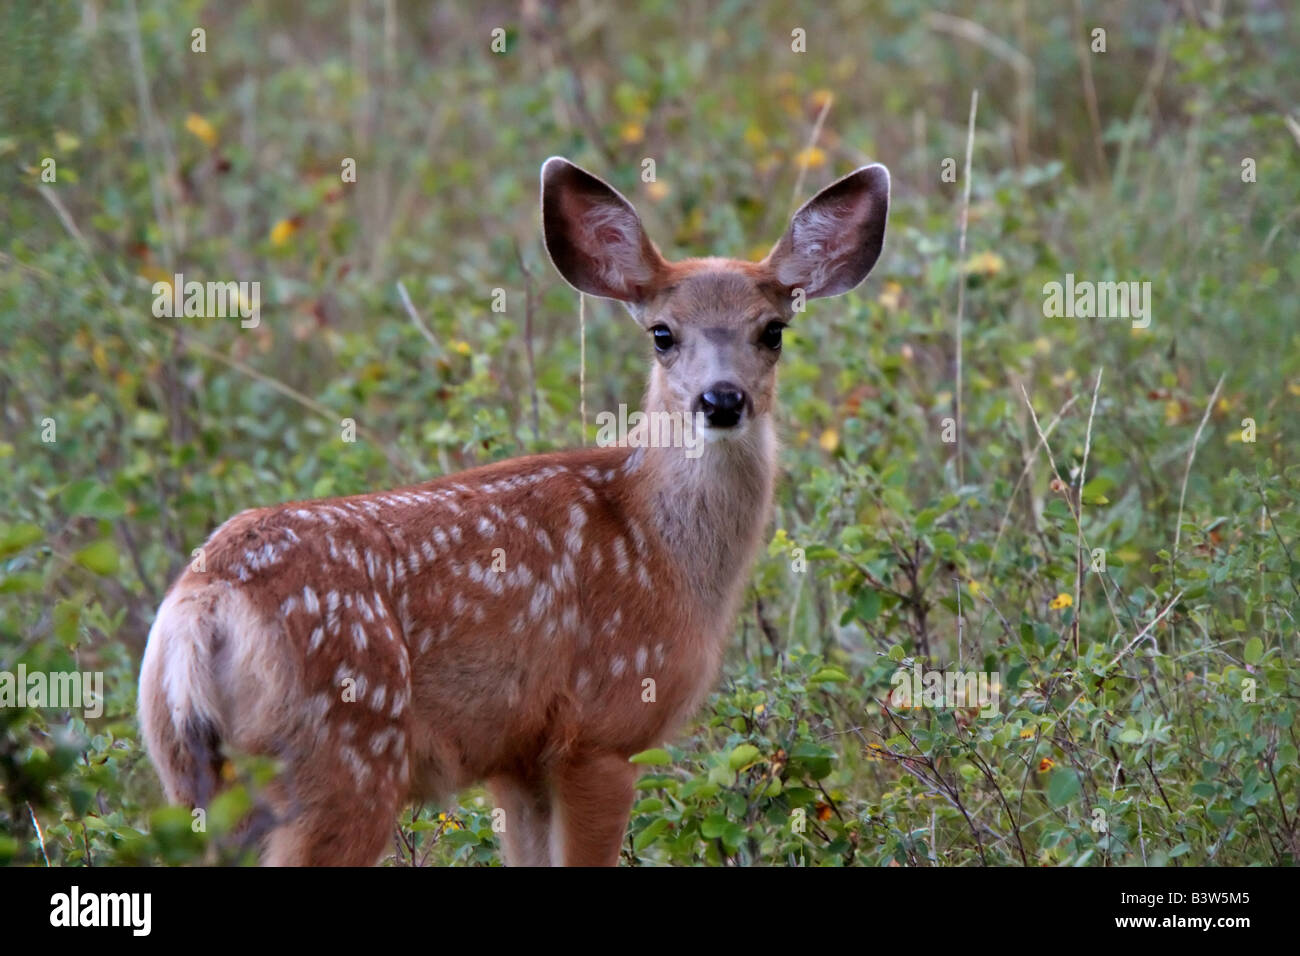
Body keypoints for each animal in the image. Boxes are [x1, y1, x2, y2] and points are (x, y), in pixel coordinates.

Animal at [138, 155, 890, 866]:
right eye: (662, 333)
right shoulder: (602, 727)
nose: (722, 399)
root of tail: (204, 605)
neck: (657, 543)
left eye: (773, 330)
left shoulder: (516, 755)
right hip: (345, 755)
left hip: (189, 770)